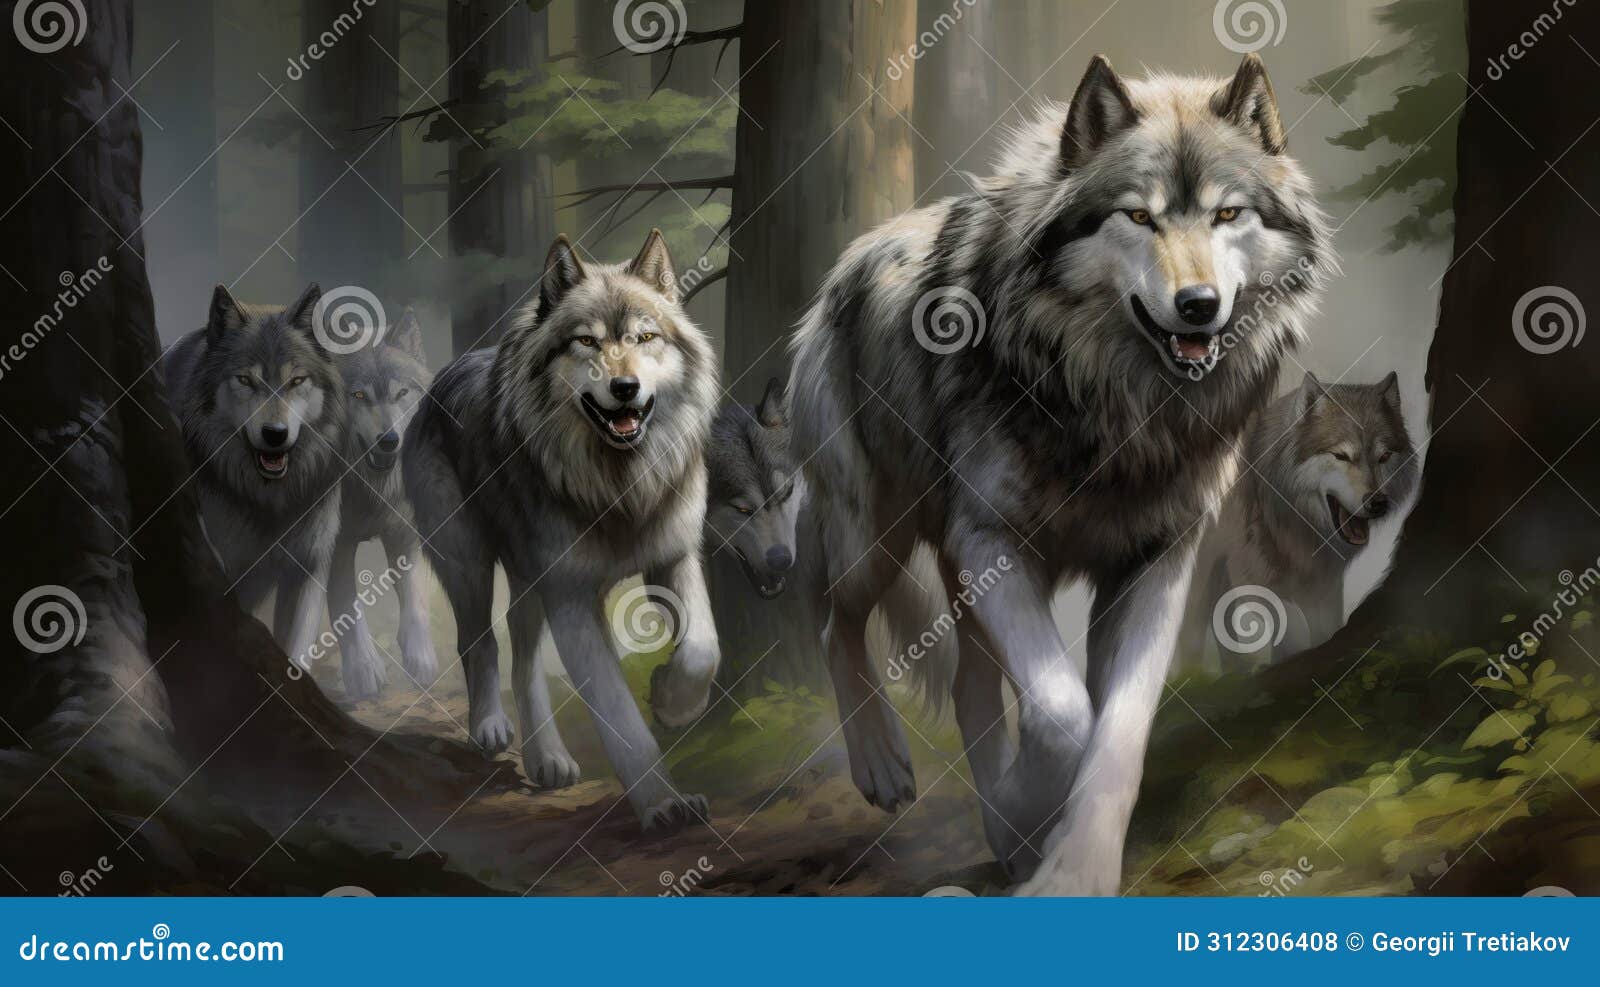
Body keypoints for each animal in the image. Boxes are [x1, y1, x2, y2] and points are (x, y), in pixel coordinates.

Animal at [163, 283, 345, 666]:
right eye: (246, 380)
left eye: (296, 380)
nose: (275, 434)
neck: (271, 501)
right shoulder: (226, 573)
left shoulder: (307, 569)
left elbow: (296, 654)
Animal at [327, 308, 439, 699]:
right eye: (359, 395)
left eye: (401, 393)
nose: (388, 440)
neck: (372, 489)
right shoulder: (336, 544)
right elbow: (345, 604)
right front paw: (362, 669)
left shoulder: (405, 532)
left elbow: (416, 600)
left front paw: (421, 658)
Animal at [405, 230, 720, 829]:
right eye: (587, 343)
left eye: (644, 336)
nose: (625, 387)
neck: (617, 489)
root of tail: (444, 374)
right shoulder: (572, 595)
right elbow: (617, 712)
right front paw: (662, 803)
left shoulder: (674, 557)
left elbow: (702, 649)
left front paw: (674, 703)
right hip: (470, 563)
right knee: (479, 641)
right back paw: (491, 727)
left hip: (530, 578)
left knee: (521, 647)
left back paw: (546, 757)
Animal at [787, 54, 1332, 894]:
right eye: (1137, 217)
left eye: (1227, 214)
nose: (1198, 305)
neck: (1120, 413)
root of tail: (846, 263)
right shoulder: (994, 544)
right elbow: (1062, 711)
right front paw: (1026, 817)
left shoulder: (1157, 562)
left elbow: (1118, 728)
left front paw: (1074, 862)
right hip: (873, 538)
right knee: (827, 612)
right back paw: (883, 765)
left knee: (969, 690)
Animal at [1180, 371, 1418, 669]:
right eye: (1341, 456)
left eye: (1384, 456)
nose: (1377, 503)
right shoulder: (1256, 578)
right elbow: (1289, 630)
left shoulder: (1325, 585)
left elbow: (1324, 630)